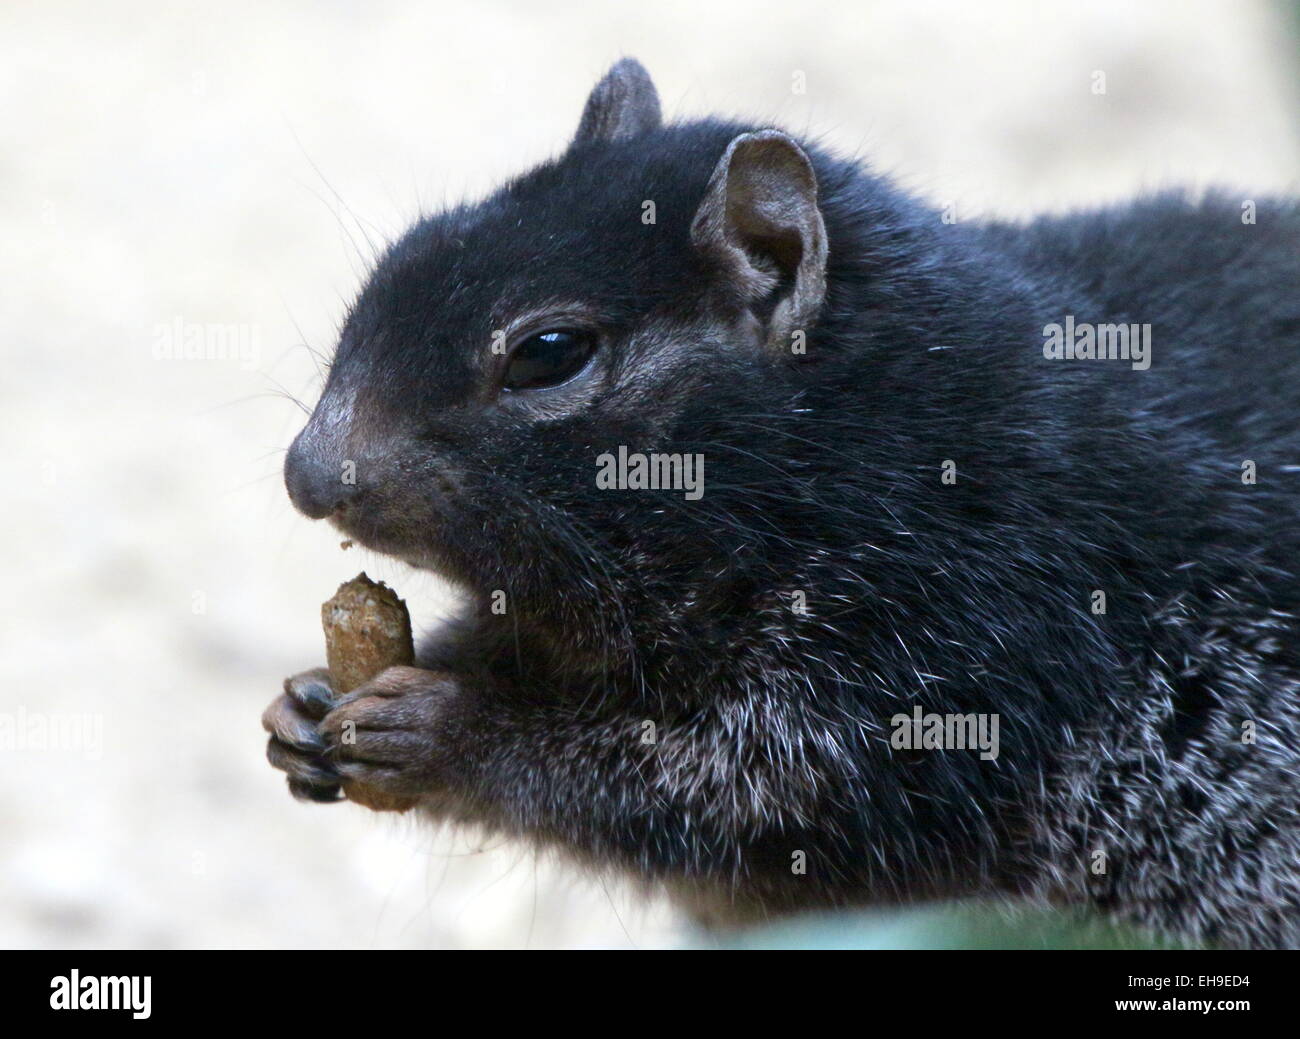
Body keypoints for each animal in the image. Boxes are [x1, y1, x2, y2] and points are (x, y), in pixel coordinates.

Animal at [263, 58, 1300, 948]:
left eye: (549, 352)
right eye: (403, 255)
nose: (307, 473)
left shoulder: (952, 653)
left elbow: (735, 795)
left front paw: (443, 732)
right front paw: (305, 704)